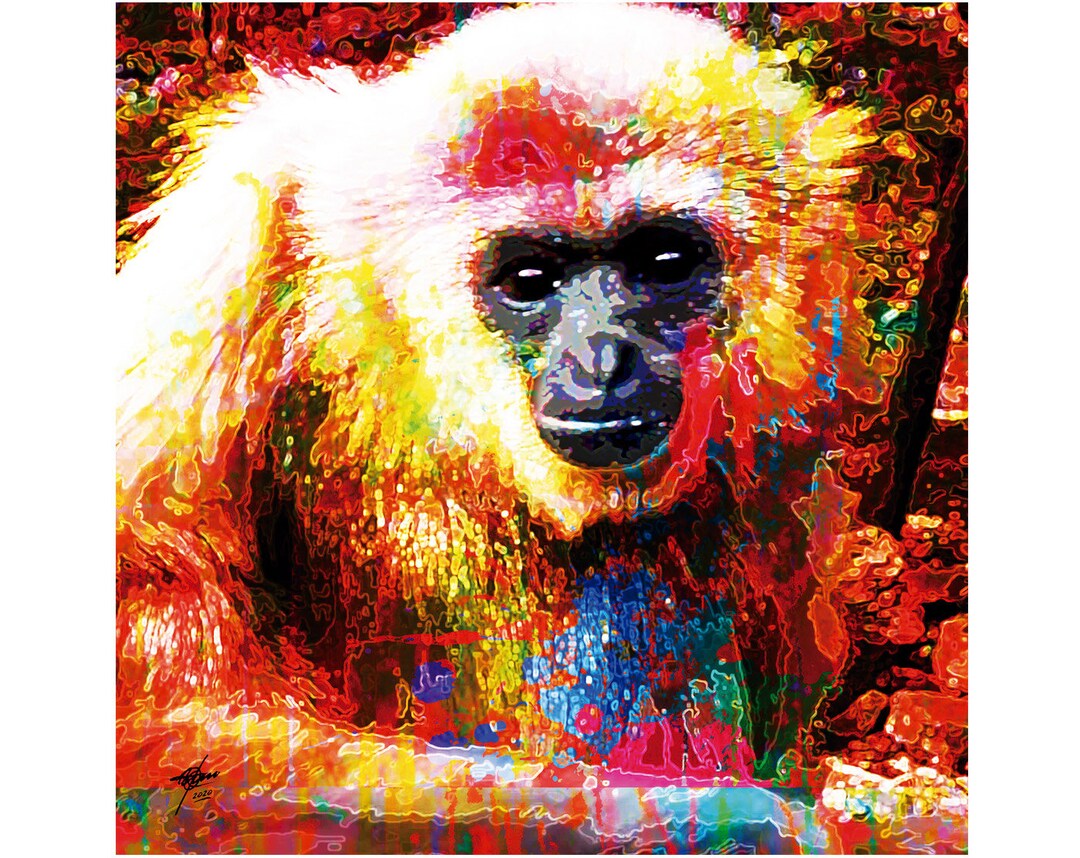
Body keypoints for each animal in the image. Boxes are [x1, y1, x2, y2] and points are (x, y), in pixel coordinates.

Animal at [116, 3, 966, 850]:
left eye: (664, 262)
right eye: (530, 279)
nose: (602, 360)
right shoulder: (238, 247)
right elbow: (168, 742)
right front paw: (733, 824)